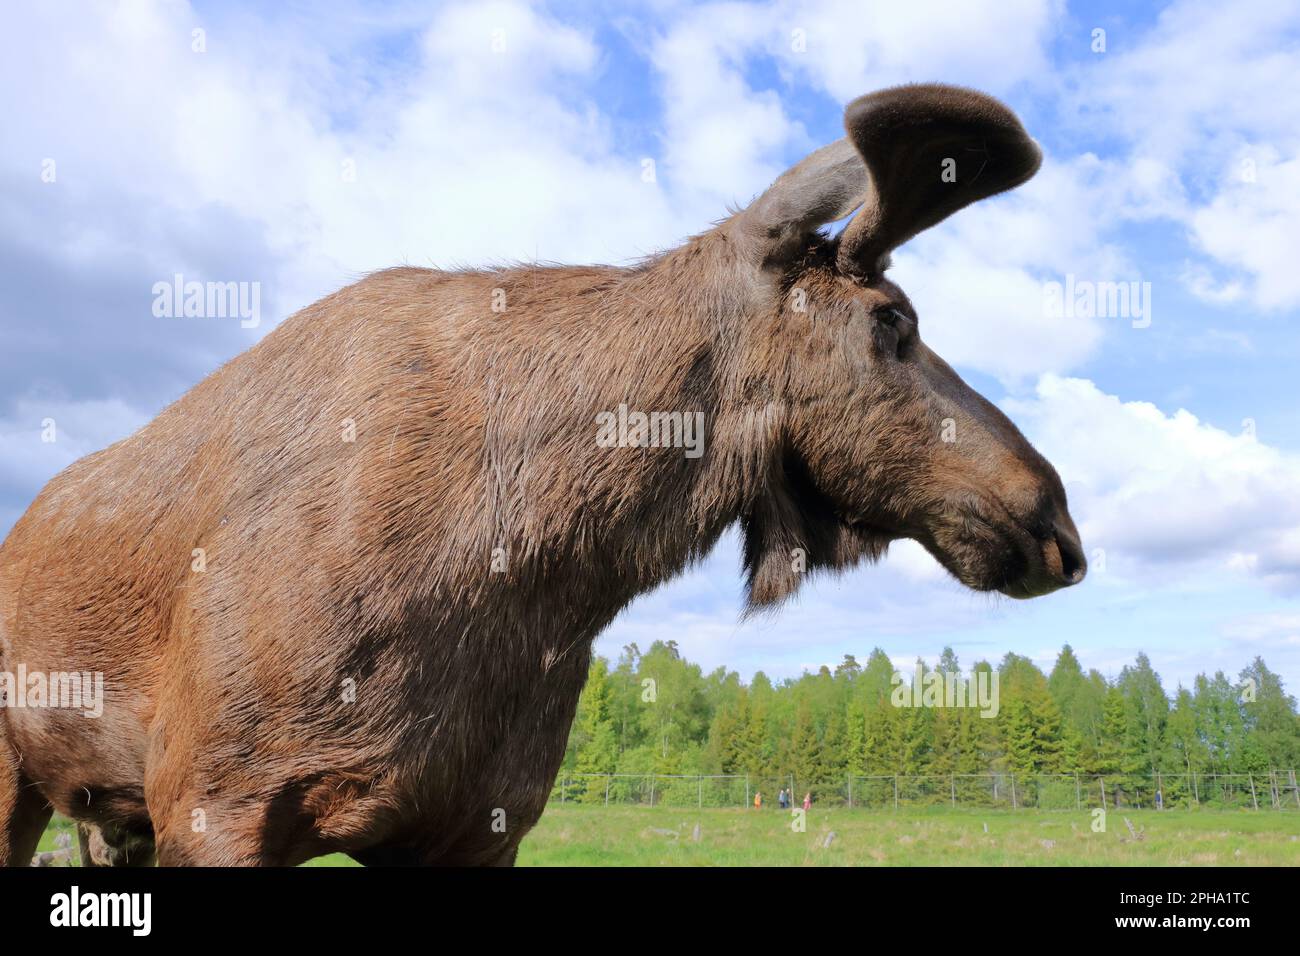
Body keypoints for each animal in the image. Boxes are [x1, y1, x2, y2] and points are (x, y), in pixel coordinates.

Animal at [0, 83, 1085, 867]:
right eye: (892, 322)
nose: (1056, 521)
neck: (525, 576)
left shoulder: (475, 826)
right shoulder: (218, 799)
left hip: (106, 813)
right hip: (24, 776)